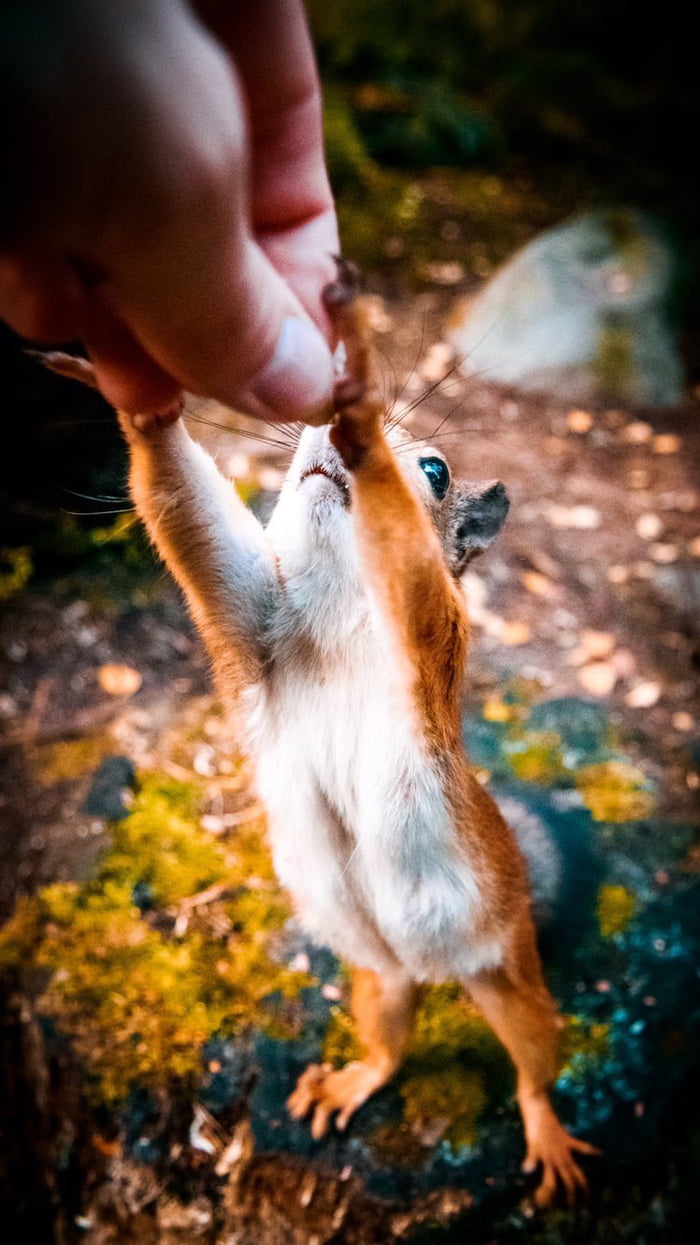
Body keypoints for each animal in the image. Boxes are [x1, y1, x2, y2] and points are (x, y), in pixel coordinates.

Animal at [40, 263, 598, 1205]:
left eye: (437, 469)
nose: (318, 439)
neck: (340, 609)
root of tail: (432, 964)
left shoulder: (431, 633)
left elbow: (410, 565)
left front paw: (362, 405)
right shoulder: (249, 625)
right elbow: (190, 522)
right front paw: (133, 393)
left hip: (508, 970)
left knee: (530, 1055)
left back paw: (545, 1128)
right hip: (379, 975)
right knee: (390, 1036)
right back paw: (354, 1077)